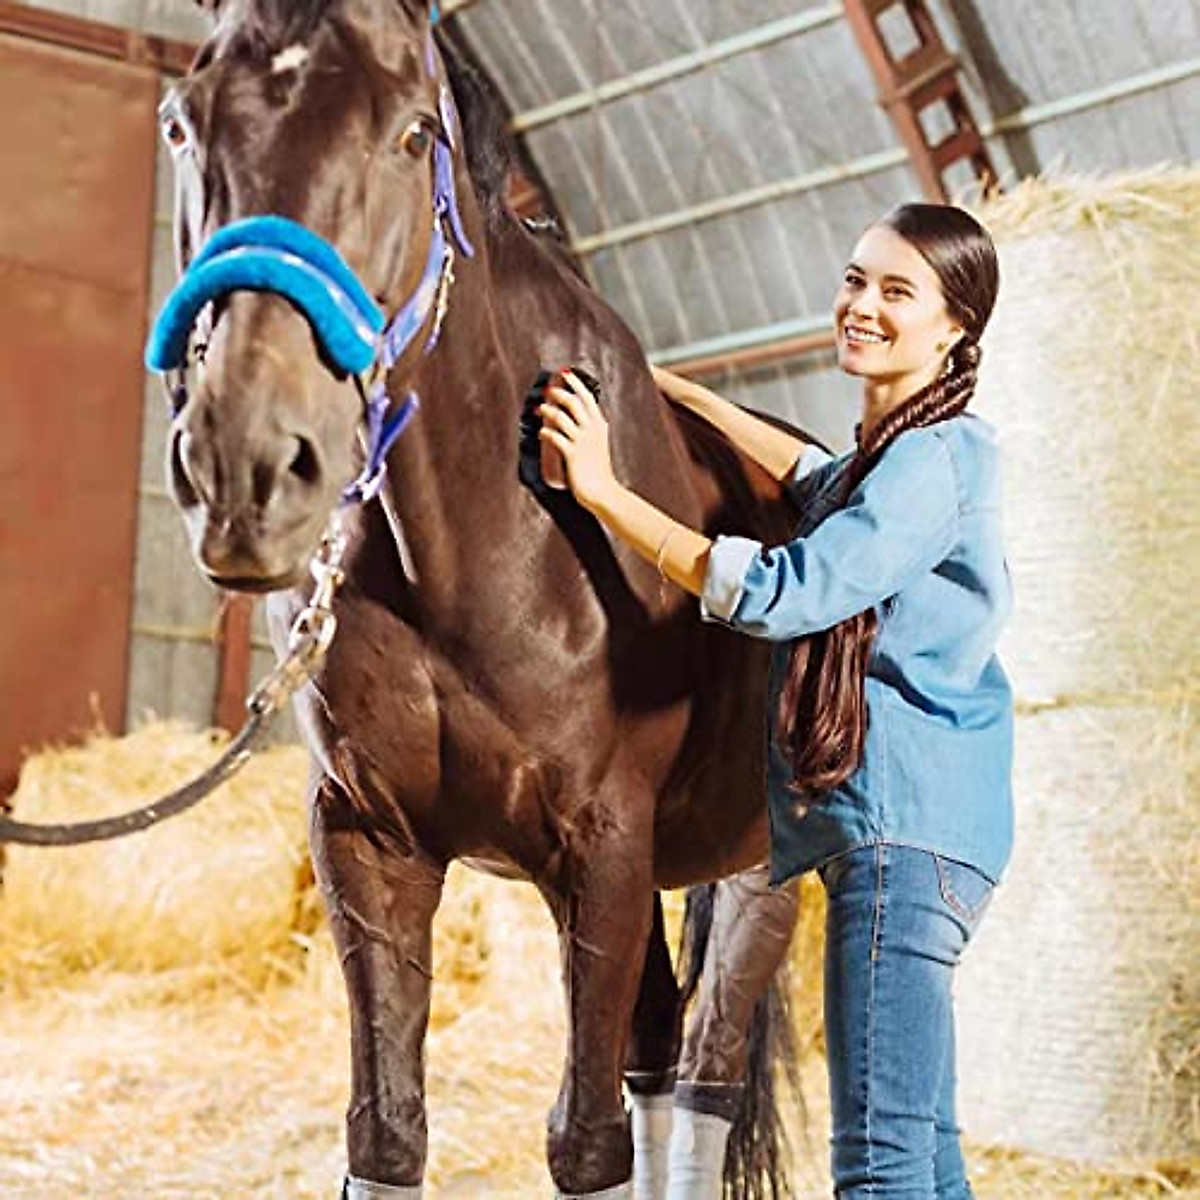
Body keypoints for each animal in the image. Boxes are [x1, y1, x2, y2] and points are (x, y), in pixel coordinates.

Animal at [156, 2, 809, 1195]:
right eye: (183, 123)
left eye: (415, 133)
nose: (246, 463)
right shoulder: (369, 843)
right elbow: (387, 1132)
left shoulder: (600, 850)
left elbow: (587, 1141)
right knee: (658, 1057)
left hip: (761, 874)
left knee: (701, 1074)